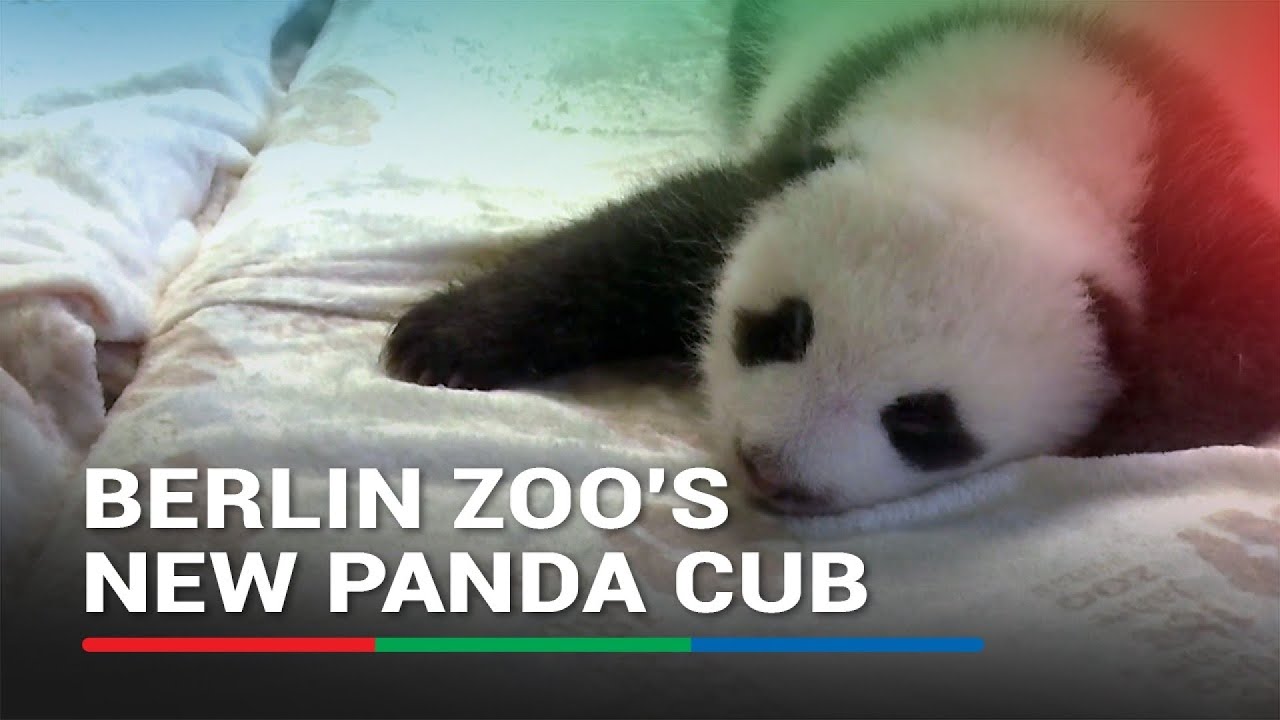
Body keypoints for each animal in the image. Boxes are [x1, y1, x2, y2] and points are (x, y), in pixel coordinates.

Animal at [383, 1, 1280, 515]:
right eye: (778, 331)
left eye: (923, 419)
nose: (770, 468)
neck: (1023, 128)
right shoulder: (802, 144)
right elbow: (644, 239)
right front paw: (439, 339)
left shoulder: (1185, 189)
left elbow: (1235, 353)